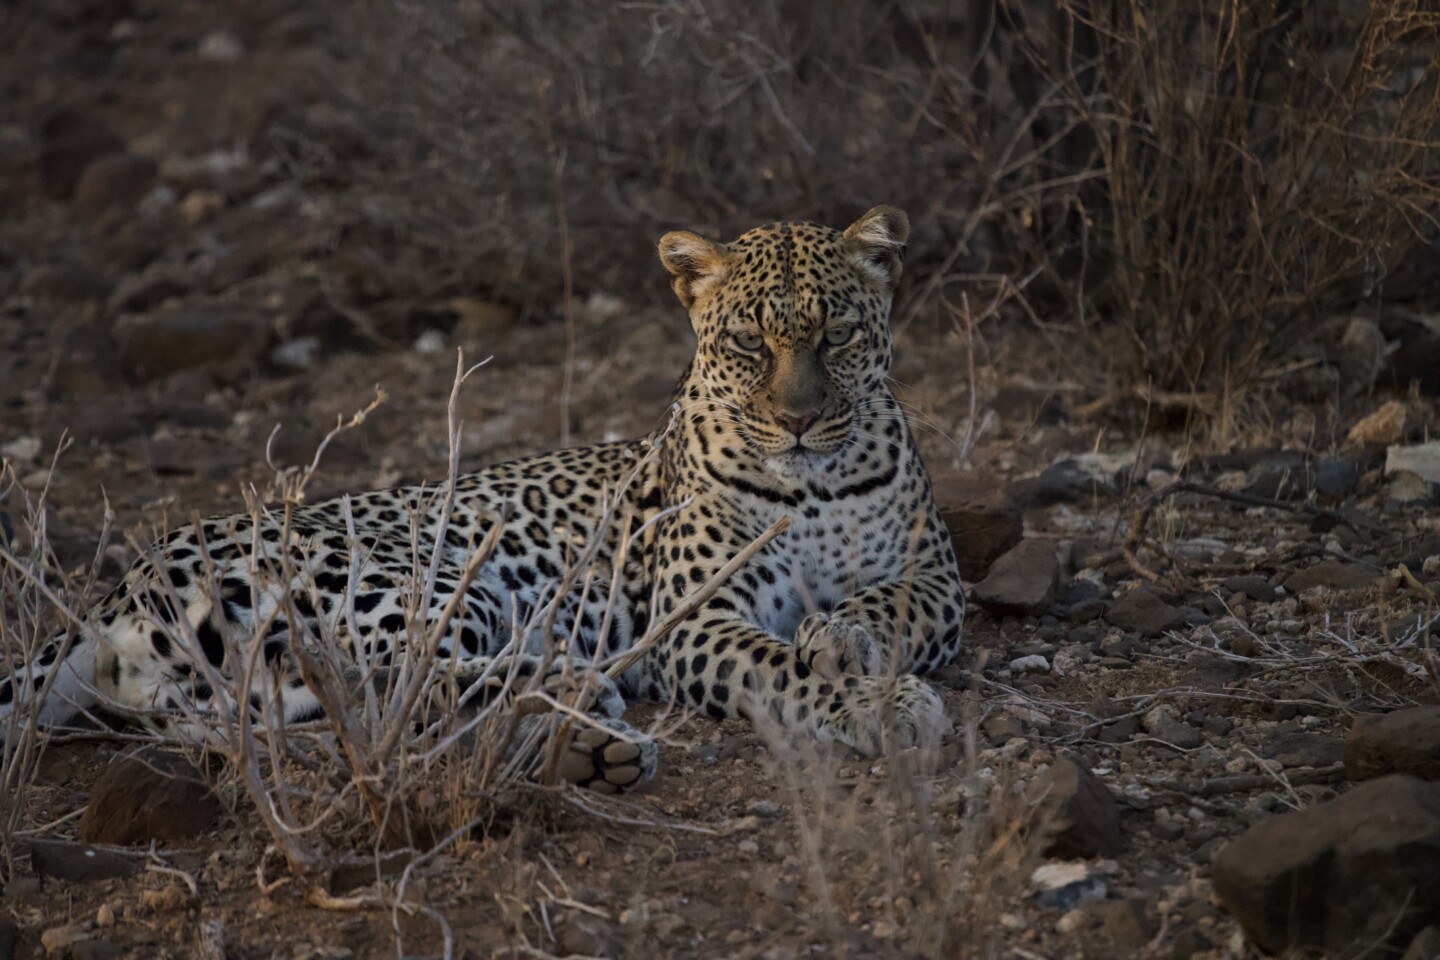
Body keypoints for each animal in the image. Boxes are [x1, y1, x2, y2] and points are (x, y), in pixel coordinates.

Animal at [0, 206, 967, 793]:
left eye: (835, 334)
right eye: (746, 342)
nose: (798, 420)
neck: (815, 483)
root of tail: (116, 592)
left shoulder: (939, 577)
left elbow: (892, 604)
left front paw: (846, 638)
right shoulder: (695, 621)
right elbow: (781, 668)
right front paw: (881, 705)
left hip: (246, 680)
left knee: (328, 713)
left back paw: (586, 740)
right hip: (397, 580)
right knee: (395, 682)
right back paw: (577, 697)